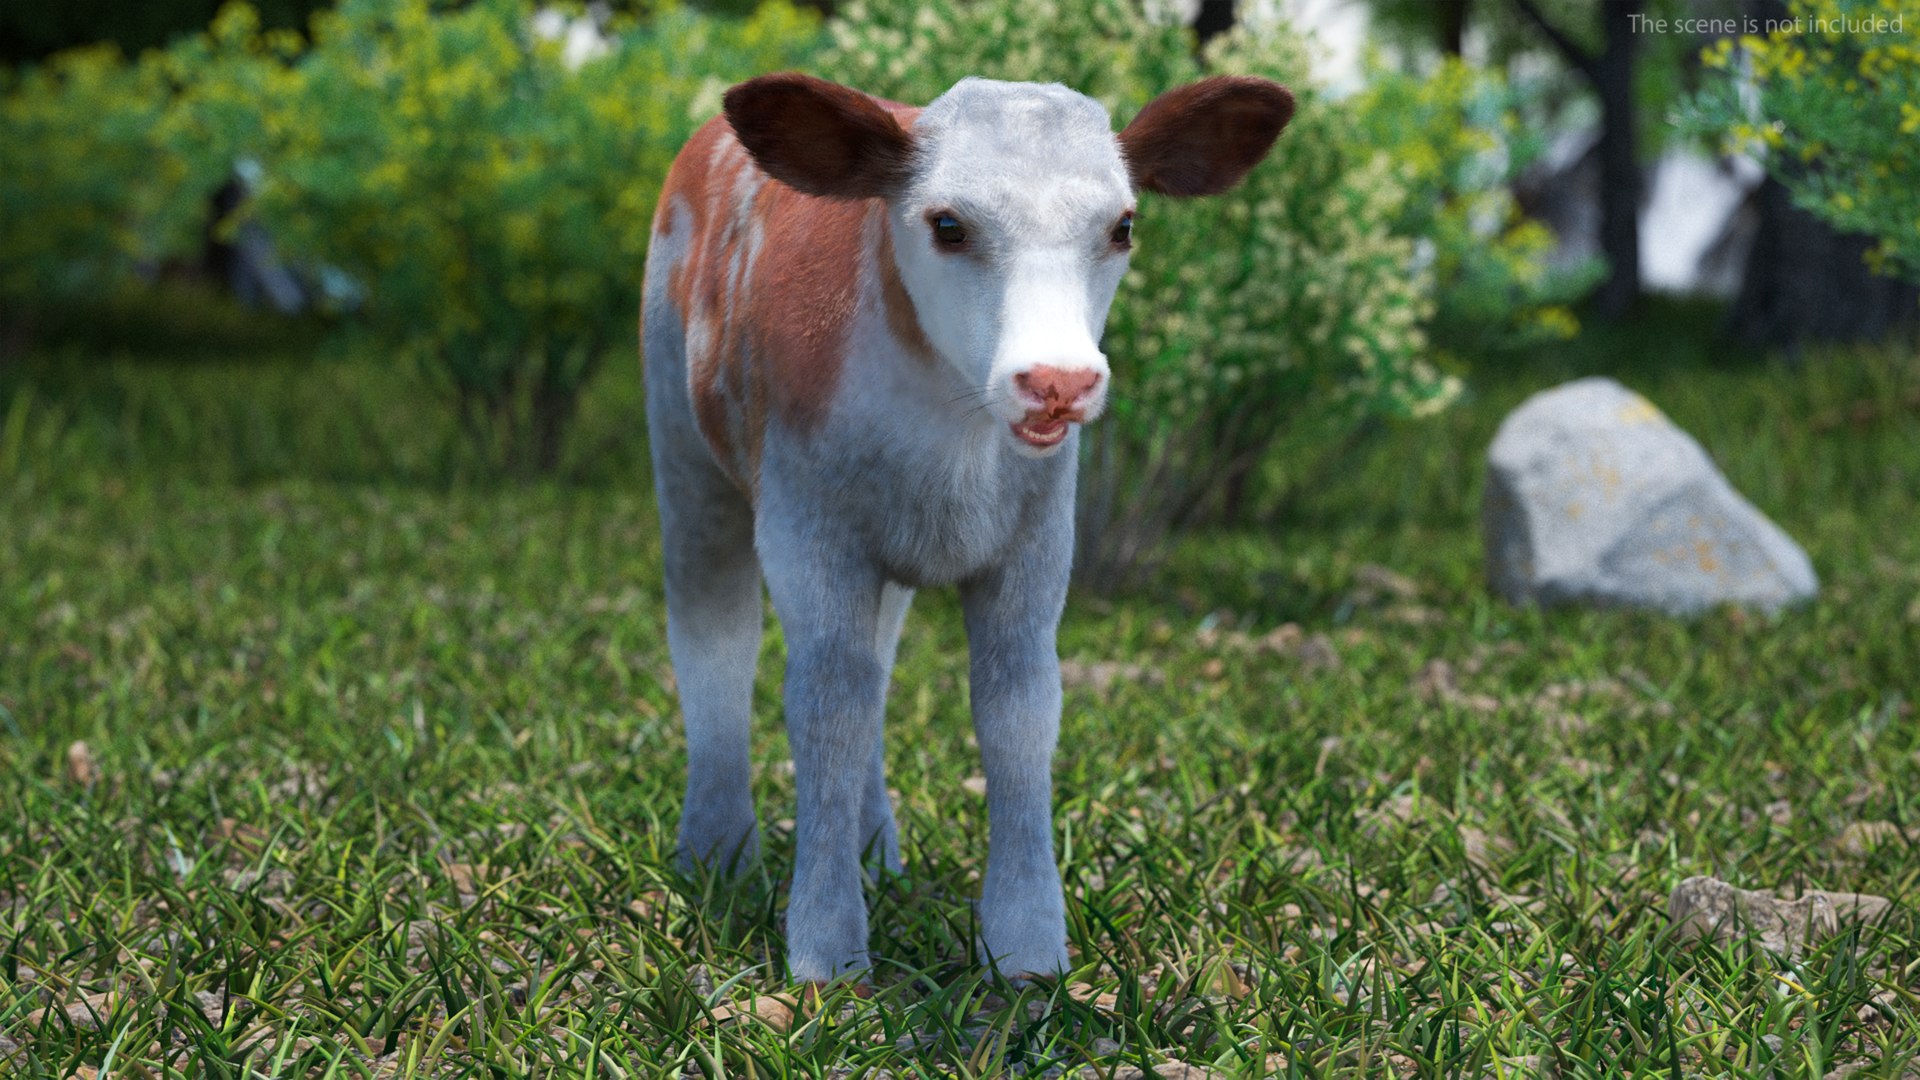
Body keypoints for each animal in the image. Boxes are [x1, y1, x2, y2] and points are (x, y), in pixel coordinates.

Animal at [641, 71, 1293, 985]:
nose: (1059, 381)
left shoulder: (1037, 542)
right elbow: (825, 705)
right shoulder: (810, 529)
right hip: (687, 452)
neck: (953, 432)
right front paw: (826, 954)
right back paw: (718, 856)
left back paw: (877, 852)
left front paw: (1028, 954)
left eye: (1122, 226)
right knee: (716, 640)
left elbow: (1017, 710)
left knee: (878, 665)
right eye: (948, 225)